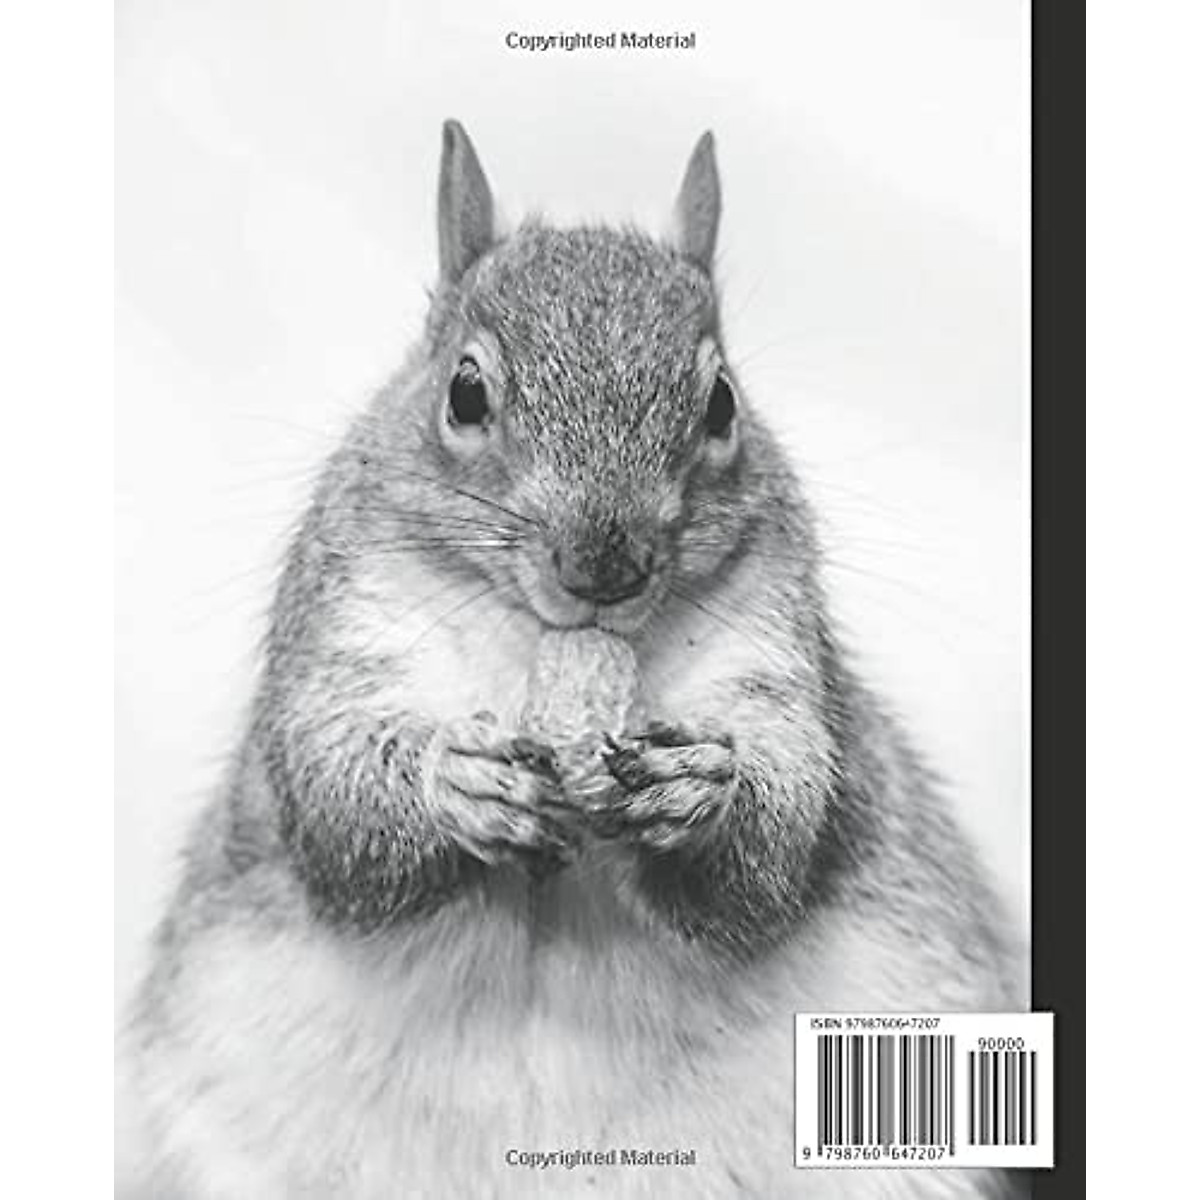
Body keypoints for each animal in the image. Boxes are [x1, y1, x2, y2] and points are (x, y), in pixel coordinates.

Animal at [121, 121, 1026, 1200]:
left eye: (721, 404)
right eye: (464, 391)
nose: (605, 563)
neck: (545, 641)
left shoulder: (774, 658)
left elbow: (774, 851)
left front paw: (700, 786)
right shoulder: (341, 637)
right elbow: (335, 808)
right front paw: (455, 785)